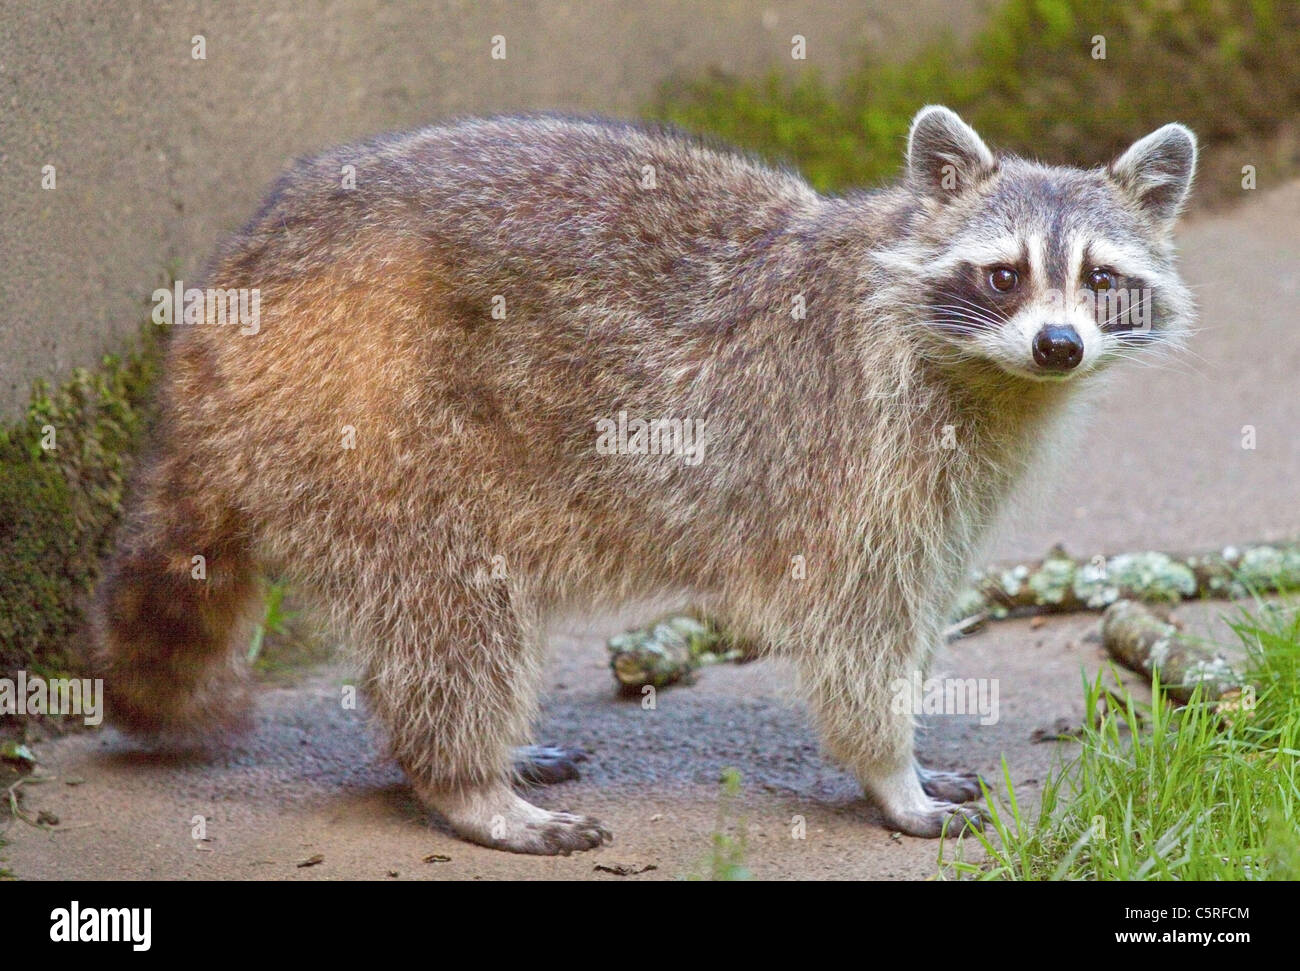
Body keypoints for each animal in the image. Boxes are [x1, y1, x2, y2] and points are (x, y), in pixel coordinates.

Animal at [95, 106, 1196, 854]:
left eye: (1100, 278)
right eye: (1005, 274)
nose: (1059, 346)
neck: (988, 374)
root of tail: (221, 309)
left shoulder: (952, 465)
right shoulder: (854, 442)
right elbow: (858, 623)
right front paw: (891, 770)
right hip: (366, 412)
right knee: (451, 602)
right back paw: (463, 780)